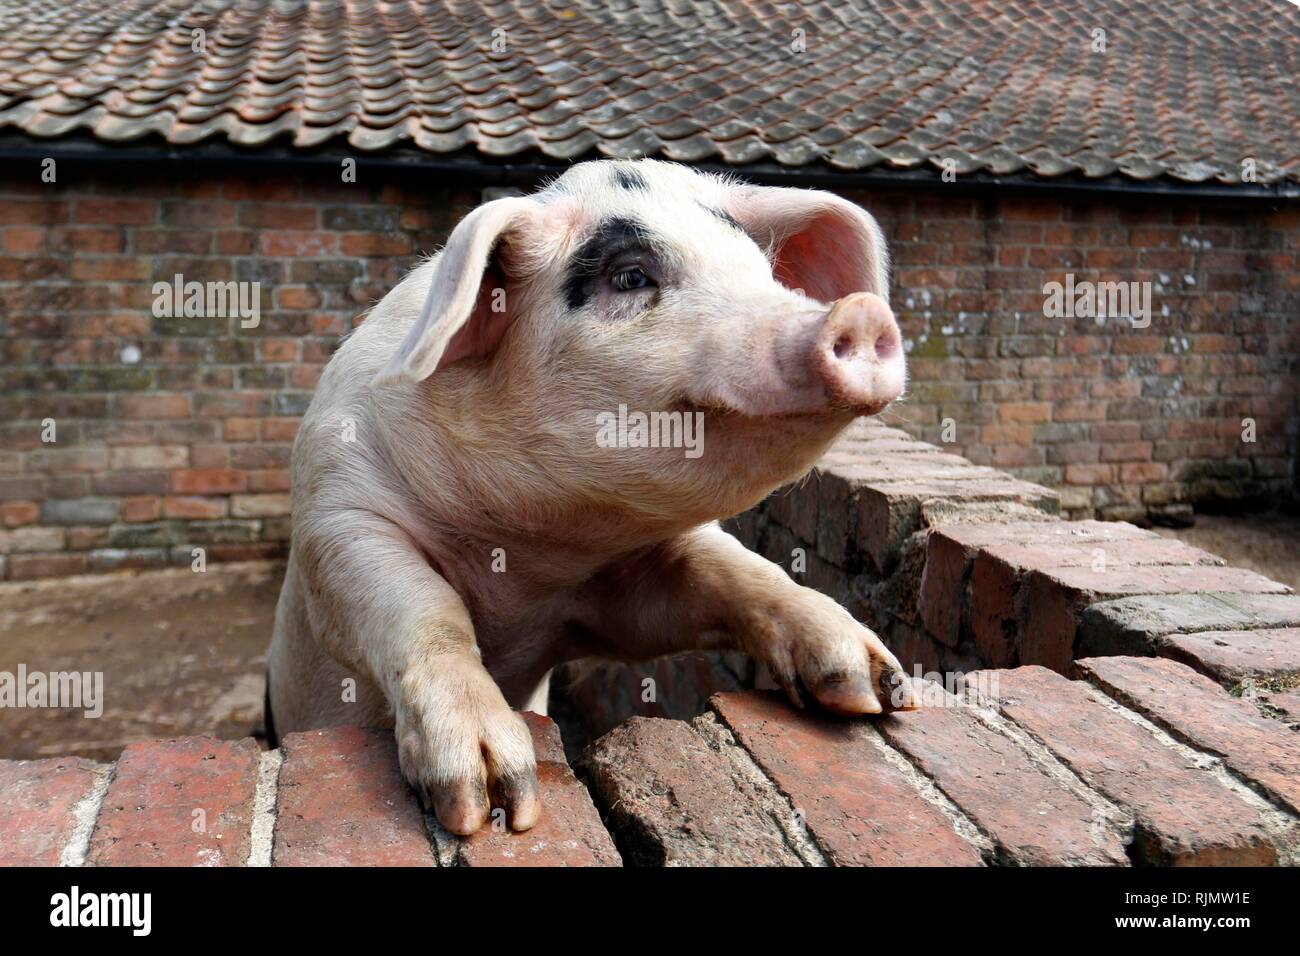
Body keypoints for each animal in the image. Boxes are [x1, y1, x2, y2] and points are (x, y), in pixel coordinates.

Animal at [266, 159, 916, 836]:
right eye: (628, 276)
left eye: (759, 269)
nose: (861, 312)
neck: (531, 560)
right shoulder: (335, 509)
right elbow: (421, 607)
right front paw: (496, 803)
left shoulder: (618, 598)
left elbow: (738, 571)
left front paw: (882, 691)